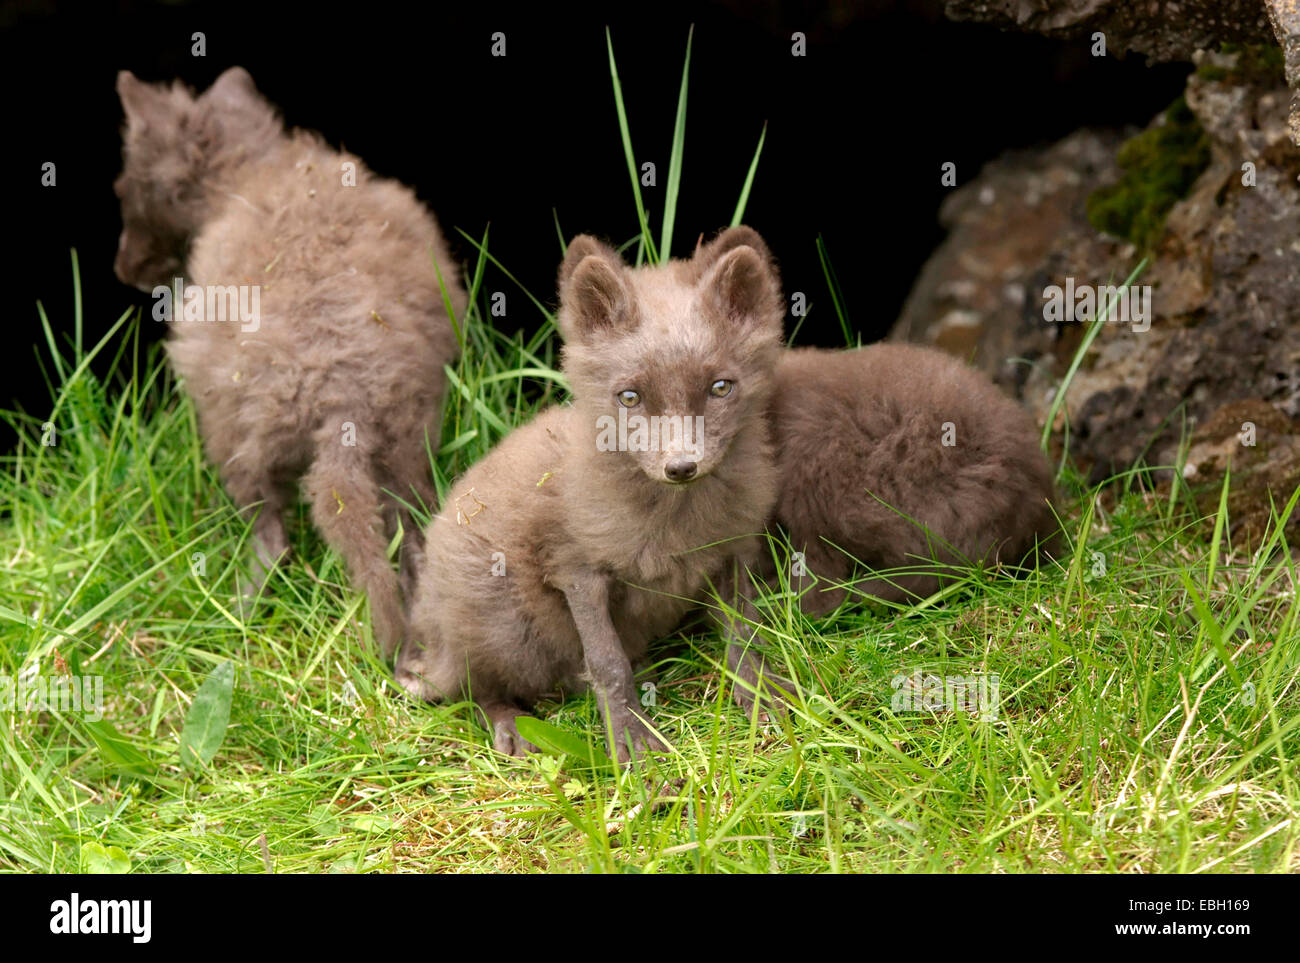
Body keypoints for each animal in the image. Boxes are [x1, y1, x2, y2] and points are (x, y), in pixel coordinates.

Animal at [113, 66, 465, 656]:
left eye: (122, 190)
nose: (123, 269)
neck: (255, 167)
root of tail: (343, 399)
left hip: (237, 438)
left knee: (273, 536)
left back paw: (234, 619)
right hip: (406, 448)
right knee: (413, 540)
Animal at [396, 229, 786, 759]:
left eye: (720, 388)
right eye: (630, 397)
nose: (681, 467)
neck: (676, 520)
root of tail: (432, 637)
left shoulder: (733, 552)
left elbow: (746, 639)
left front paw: (761, 700)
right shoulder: (577, 570)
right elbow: (608, 663)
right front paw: (632, 742)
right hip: (504, 623)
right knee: (470, 691)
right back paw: (511, 726)